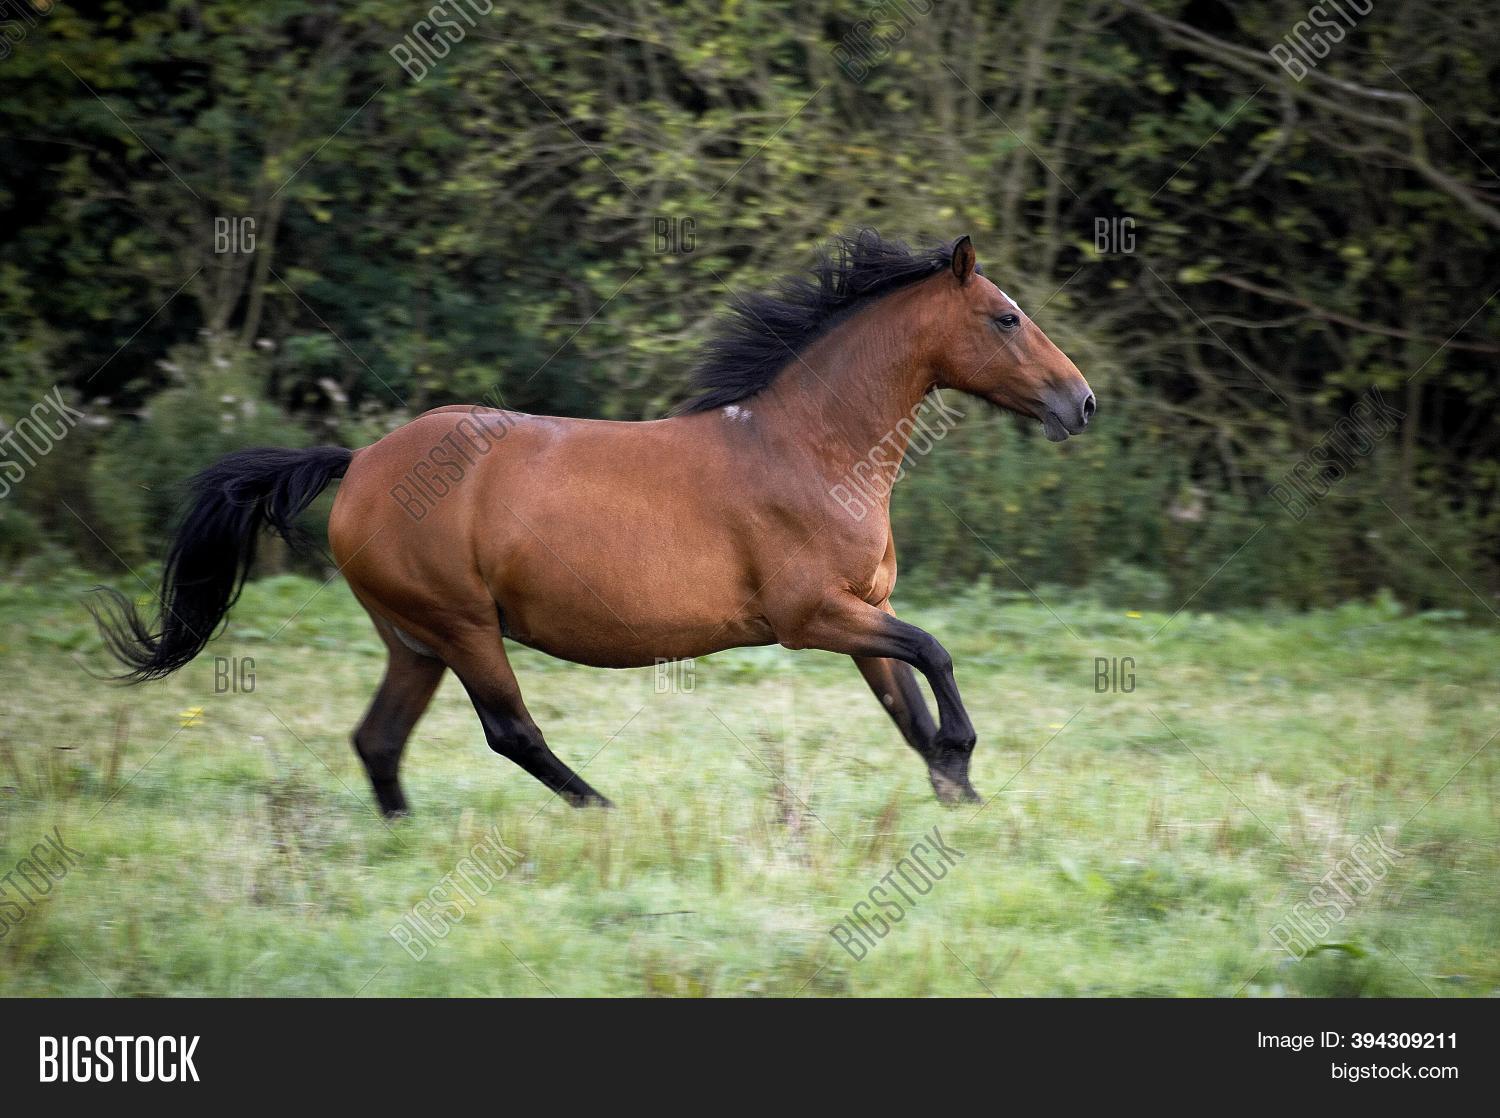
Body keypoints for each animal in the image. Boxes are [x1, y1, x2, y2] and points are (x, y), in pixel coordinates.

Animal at [91, 231, 1094, 814]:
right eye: (1006, 318)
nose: (1080, 404)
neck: (812, 448)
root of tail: (362, 461)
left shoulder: (856, 615)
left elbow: (906, 702)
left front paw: (957, 791)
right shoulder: (812, 617)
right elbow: (935, 654)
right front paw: (963, 759)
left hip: (414, 638)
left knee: (379, 739)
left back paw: (402, 834)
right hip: (461, 623)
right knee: (510, 731)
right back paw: (600, 810)